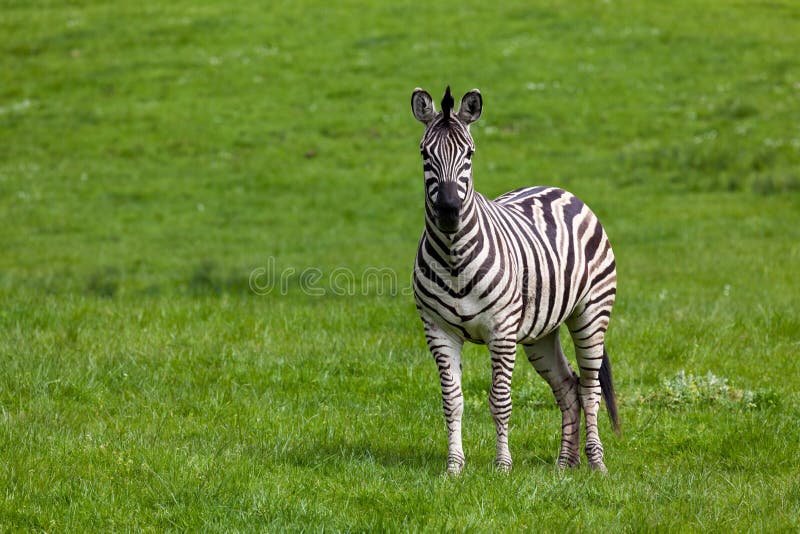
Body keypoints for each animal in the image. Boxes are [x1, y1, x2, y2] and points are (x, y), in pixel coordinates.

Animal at [411, 86, 619, 475]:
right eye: (425, 153)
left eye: (470, 153)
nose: (448, 211)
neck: (454, 257)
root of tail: (558, 189)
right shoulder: (437, 330)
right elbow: (452, 400)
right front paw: (454, 467)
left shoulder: (502, 330)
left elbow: (500, 400)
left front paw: (503, 466)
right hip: (541, 332)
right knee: (568, 386)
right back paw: (565, 464)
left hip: (591, 313)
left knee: (589, 388)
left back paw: (596, 463)